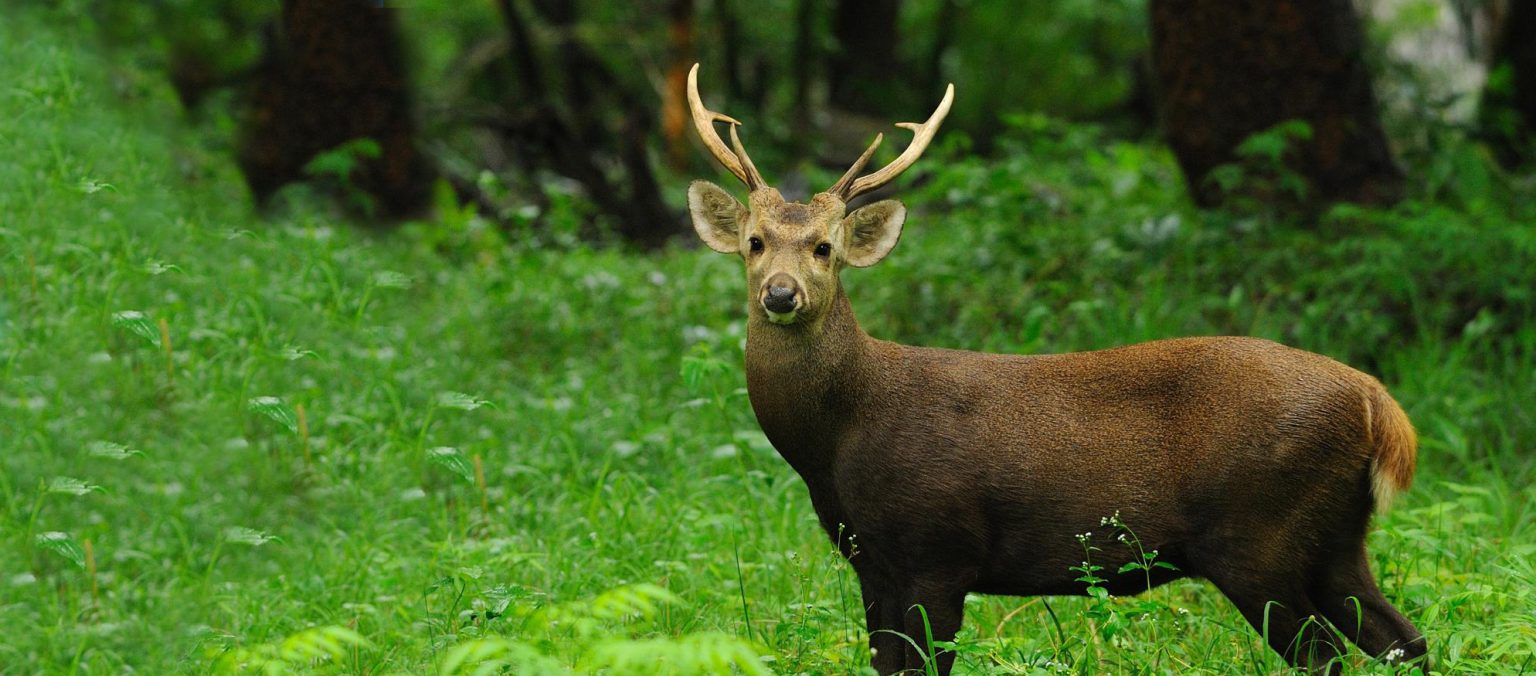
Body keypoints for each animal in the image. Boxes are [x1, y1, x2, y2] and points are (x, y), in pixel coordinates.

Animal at [683, 63, 1427, 675]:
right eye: (755, 242)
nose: (781, 294)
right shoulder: (872, 562)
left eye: (824, 248)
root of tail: (1378, 402)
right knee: (1403, 639)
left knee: (1330, 655)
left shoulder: (939, 550)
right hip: (1336, 535)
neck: (839, 438)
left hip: (1258, 532)